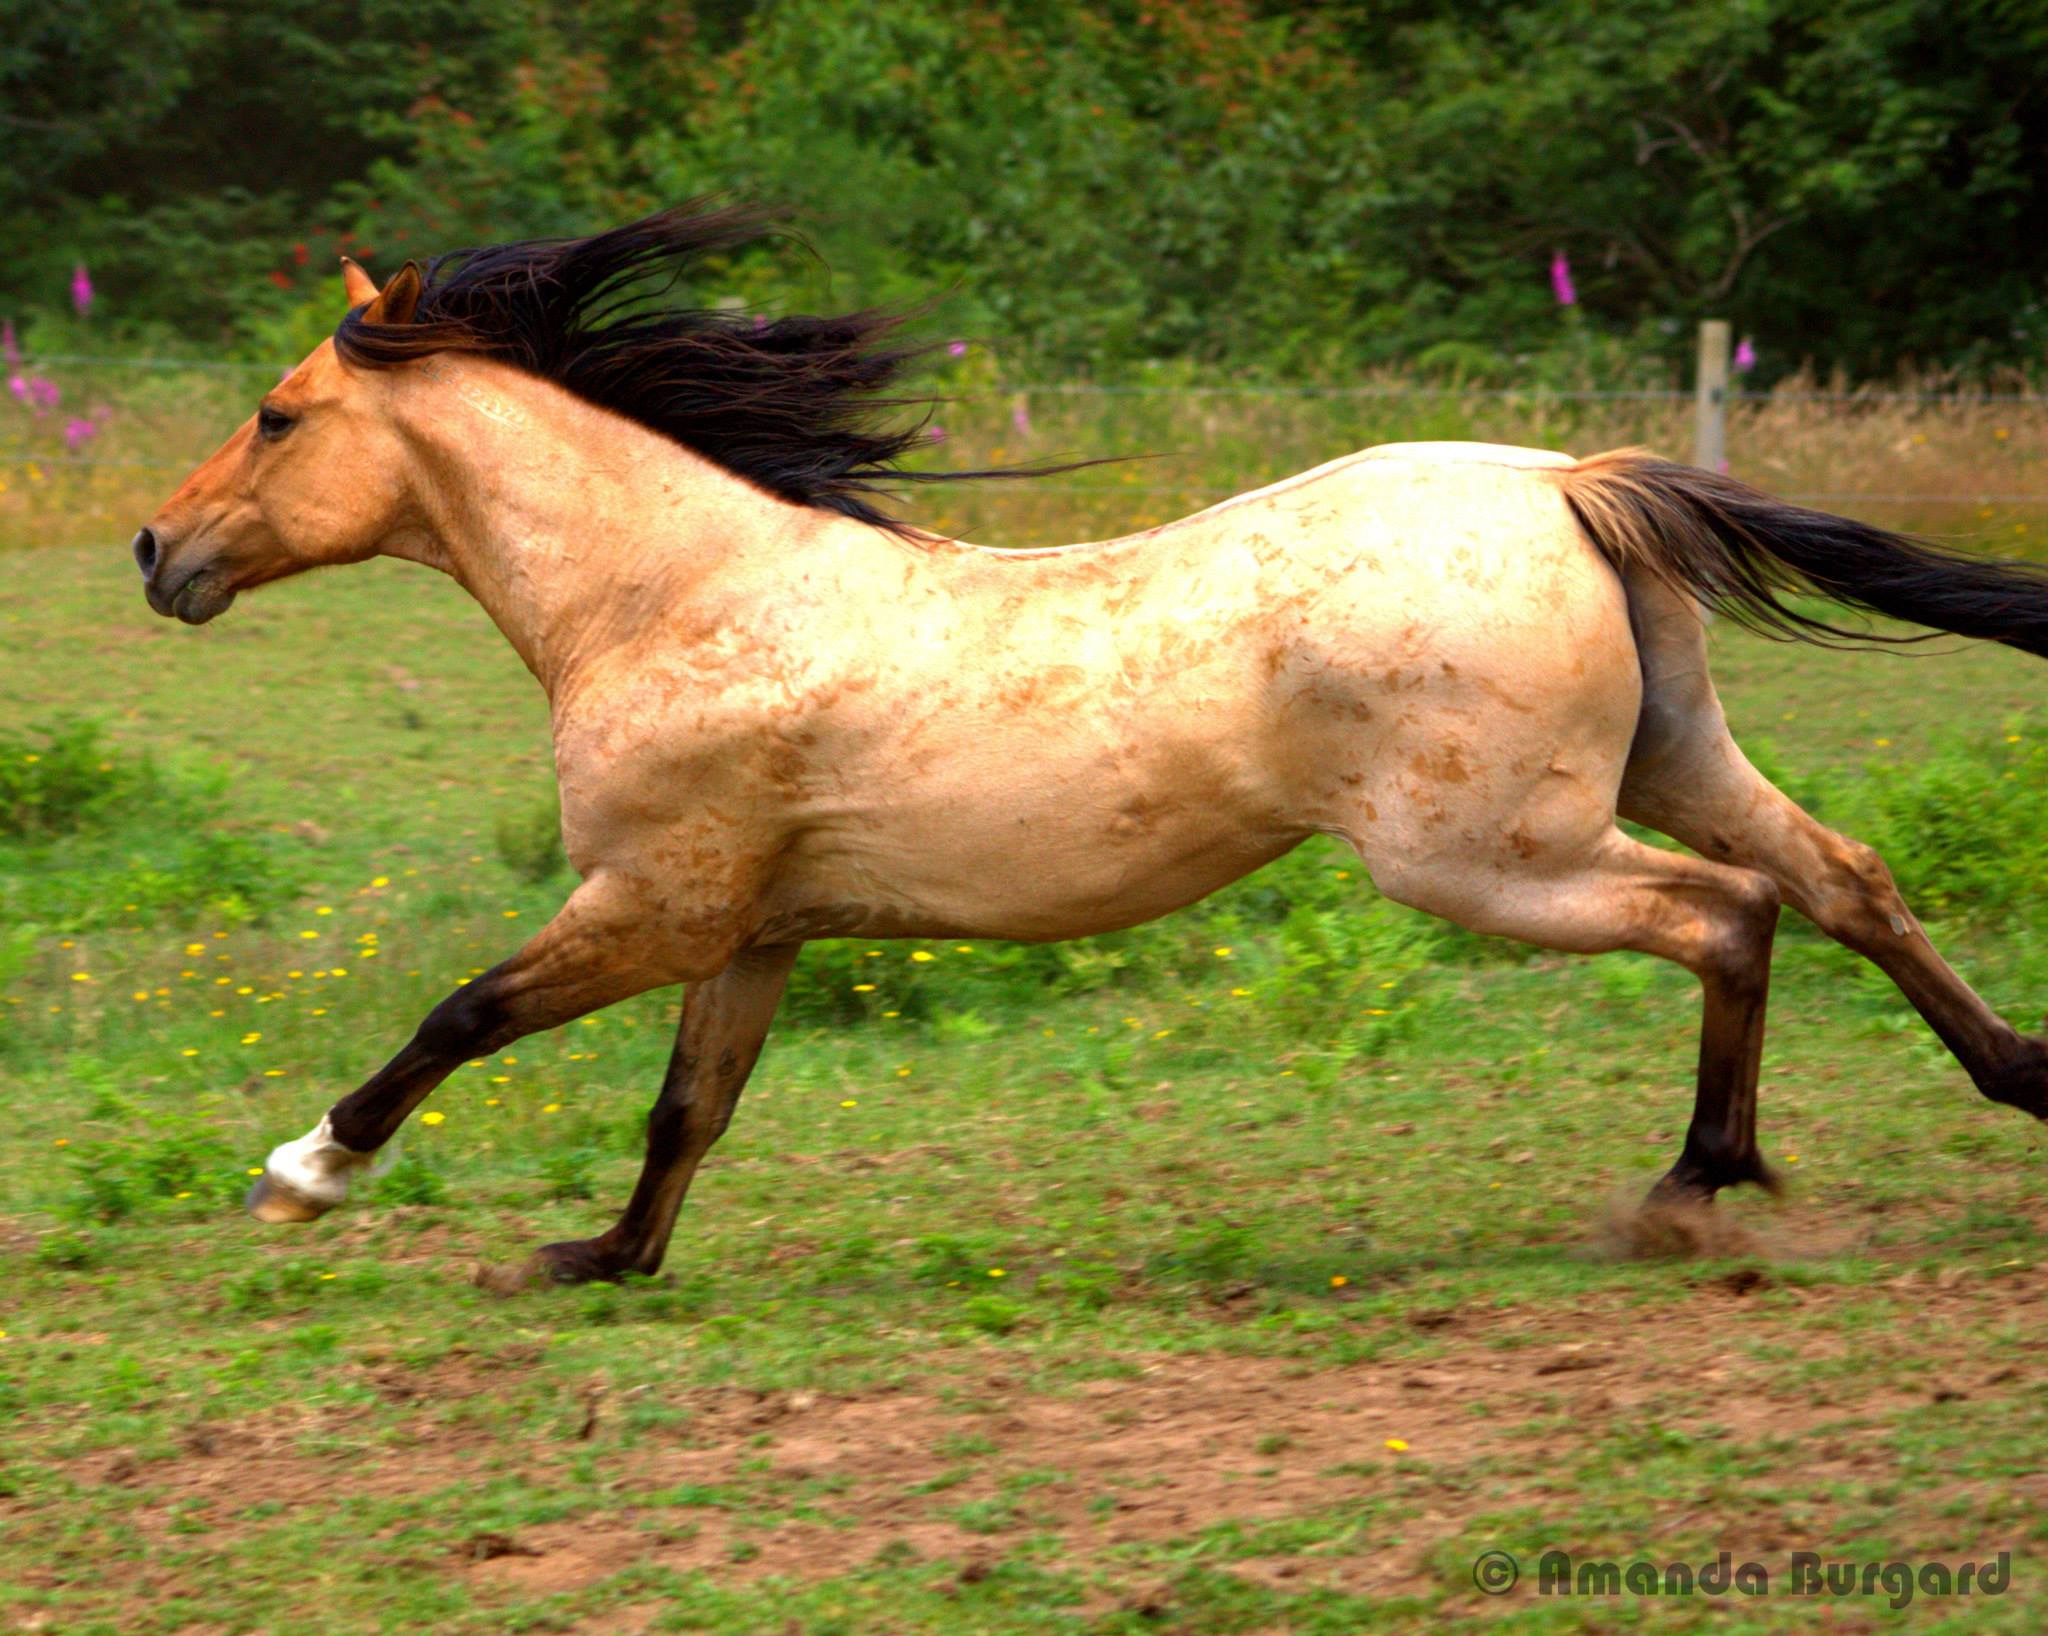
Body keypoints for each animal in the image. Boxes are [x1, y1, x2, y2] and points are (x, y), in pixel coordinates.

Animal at [133, 204, 2048, 1287]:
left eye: (278, 415)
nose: (158, 551)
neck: (674, 594)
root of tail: (1568, 478)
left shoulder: (654, 899)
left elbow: (463, 1015)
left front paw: (306, 1178)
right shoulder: (751, 928)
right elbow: (689, 1108)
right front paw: (601, 1259)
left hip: (1490, 853)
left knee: (1728, 917)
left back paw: (1689, 1188)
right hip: (1665, 763)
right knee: (1843, 879)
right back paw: (2016, 1077)